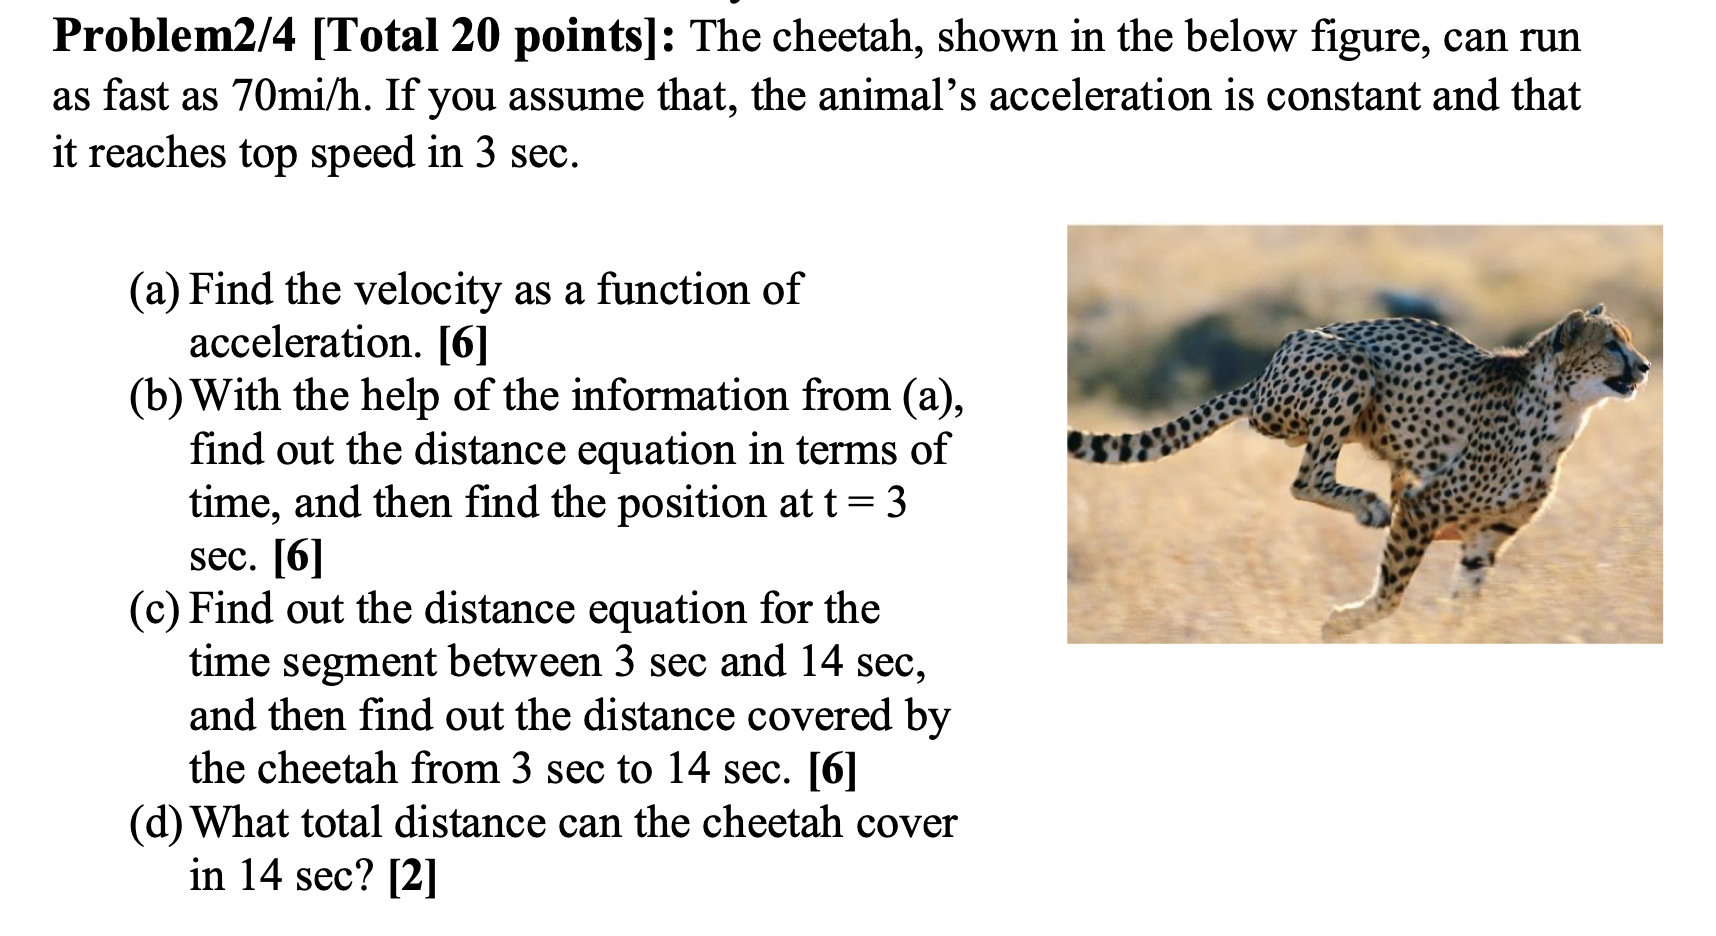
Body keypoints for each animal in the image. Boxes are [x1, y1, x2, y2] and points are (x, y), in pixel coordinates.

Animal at [1066, 305, 1651, 641]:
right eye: (1610, 344)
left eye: (1628, 340)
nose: (1644, 366)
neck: (1561, 411)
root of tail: (1263, 373)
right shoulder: (1422, 506)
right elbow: (1392, 591)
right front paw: (1344, 622)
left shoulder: (1488, 535)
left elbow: (1463, 600)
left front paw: (1452, 635)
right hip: (1346, 366)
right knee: (1305, 478)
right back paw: (1367, 506)